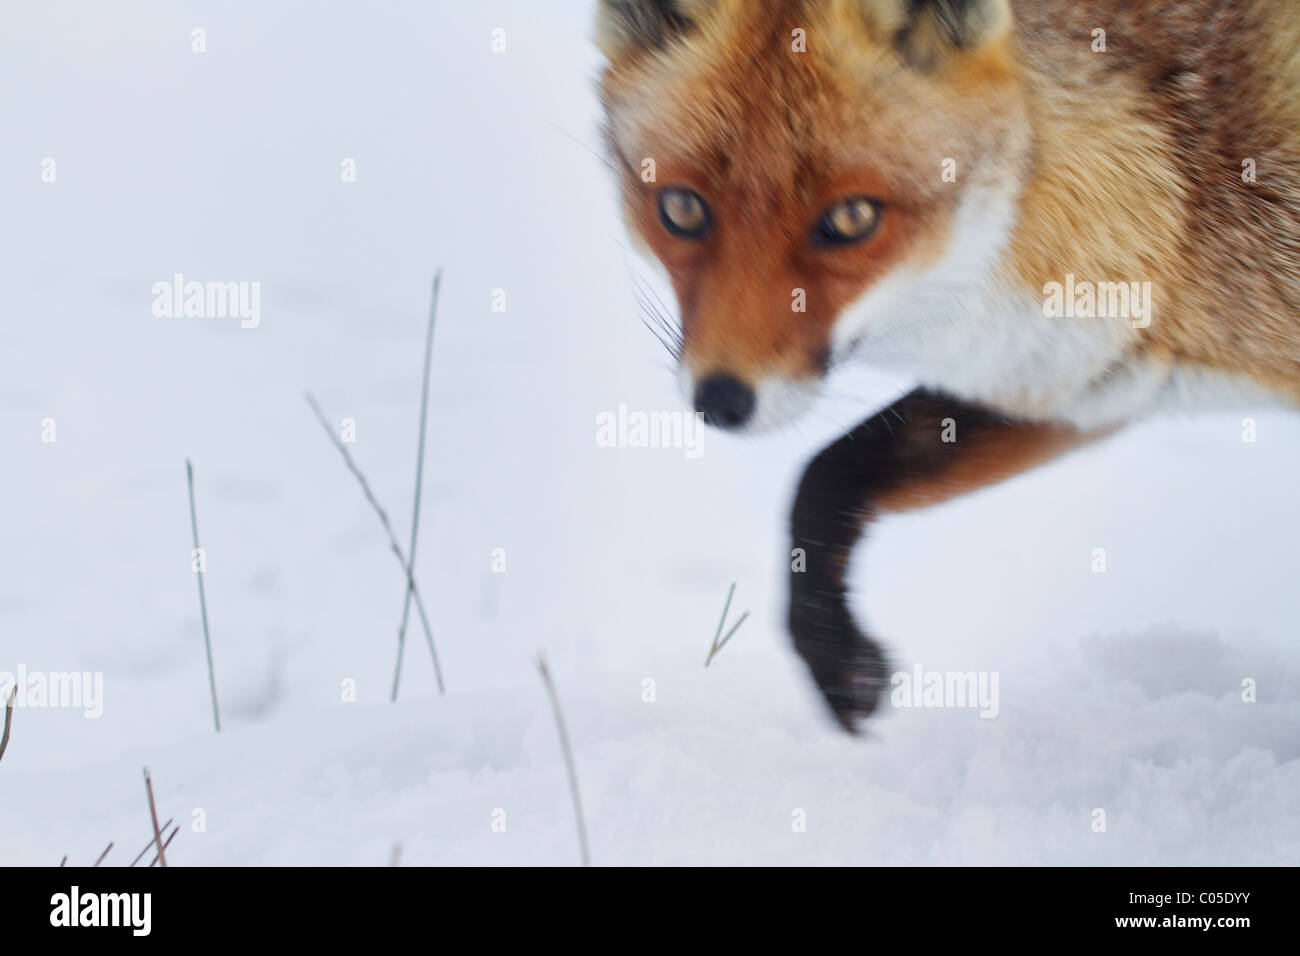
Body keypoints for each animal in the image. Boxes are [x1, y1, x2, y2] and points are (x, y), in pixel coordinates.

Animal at [594, 0, 1300, 730]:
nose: (721, 401)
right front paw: (832, 652)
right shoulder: (1078, 379)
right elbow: (827, 474)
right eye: (682, 208)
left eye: (851, 218)